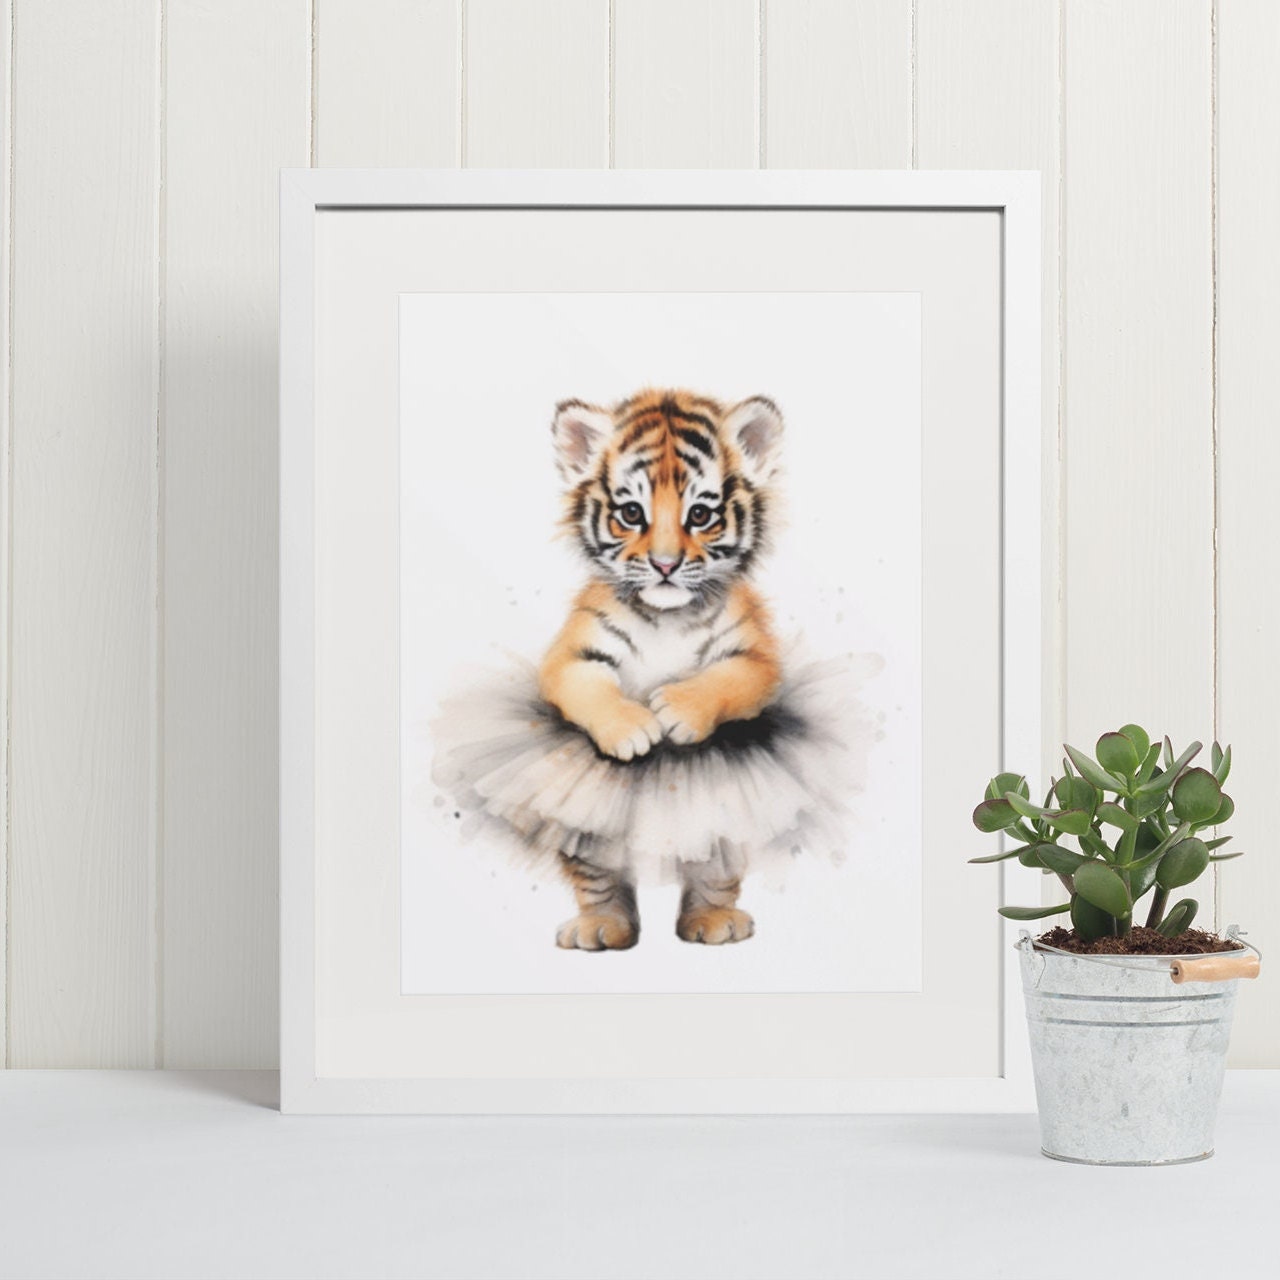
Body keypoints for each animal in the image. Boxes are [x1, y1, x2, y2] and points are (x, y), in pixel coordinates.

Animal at [539, 388, 786, 951]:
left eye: (701, 514)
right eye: (632, 512)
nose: (666, 566)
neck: (667, 615)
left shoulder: (757, 658)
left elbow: (727, 678)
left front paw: (677, 708)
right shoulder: (570, 655)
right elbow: (590, 688)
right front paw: (632, 729)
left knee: (715, 869)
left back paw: (714, 923)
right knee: (597, 873)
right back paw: (600, 929)